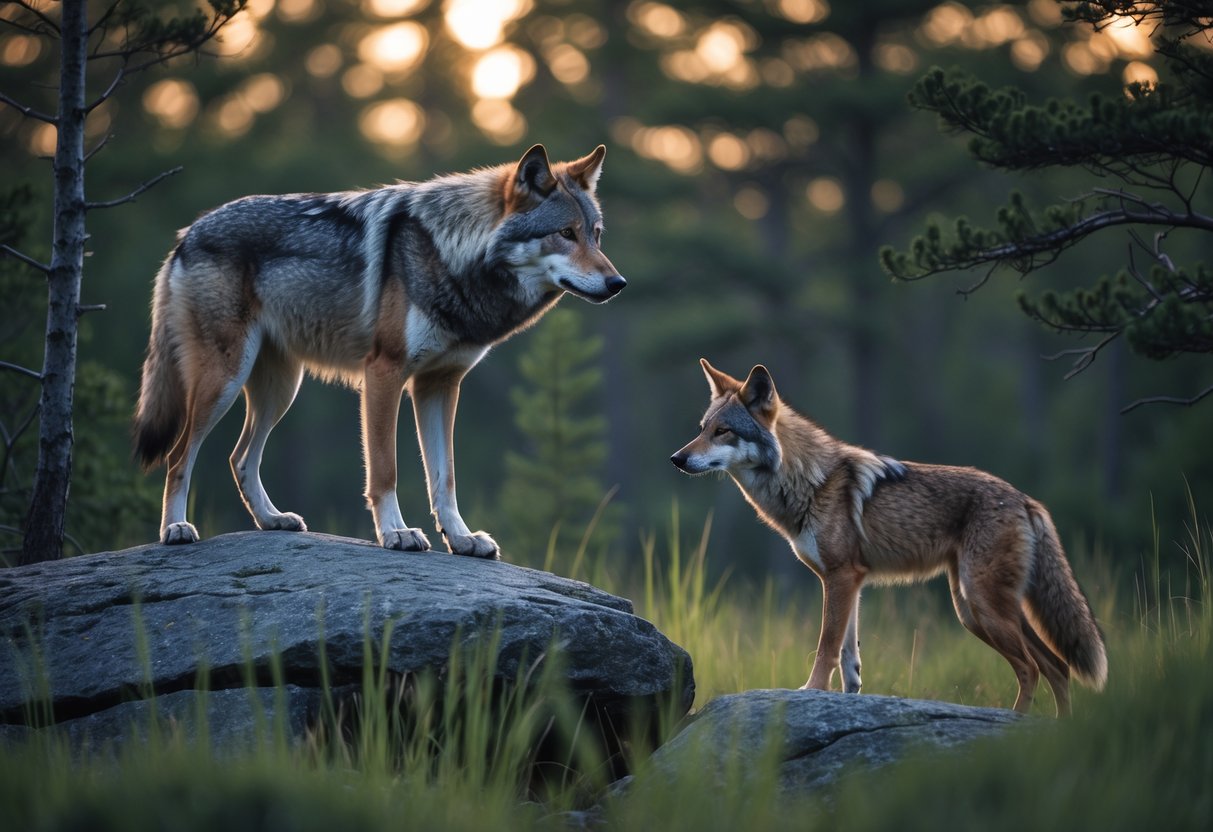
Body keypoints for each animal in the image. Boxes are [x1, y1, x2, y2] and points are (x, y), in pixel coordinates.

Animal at [134, 144, 624, 559]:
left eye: (597, 235)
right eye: (565, 233)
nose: (618, 283)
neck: (452, 257)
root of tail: (187, 233)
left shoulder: (439, 386)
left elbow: (445, 478)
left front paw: (461, 539)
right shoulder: (384, 374)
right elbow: (386, 469)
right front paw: (397, 533)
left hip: (280, 391)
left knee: (239, 458)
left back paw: (272, 520)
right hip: (225, 381)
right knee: (179, 456)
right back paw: (175, 529)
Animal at [671, 359, 1107, 715]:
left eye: (723, 431)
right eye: (702, 430)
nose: (677, 458)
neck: (809, 481)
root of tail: (1027, 500)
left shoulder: (841, 577)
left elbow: (826, 647)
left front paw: (811, 690)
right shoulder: (850, 582)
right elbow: (849, 658)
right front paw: (846, 700)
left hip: (981, 607)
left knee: (1032, 668)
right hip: (977, 610)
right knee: (1058, 666)